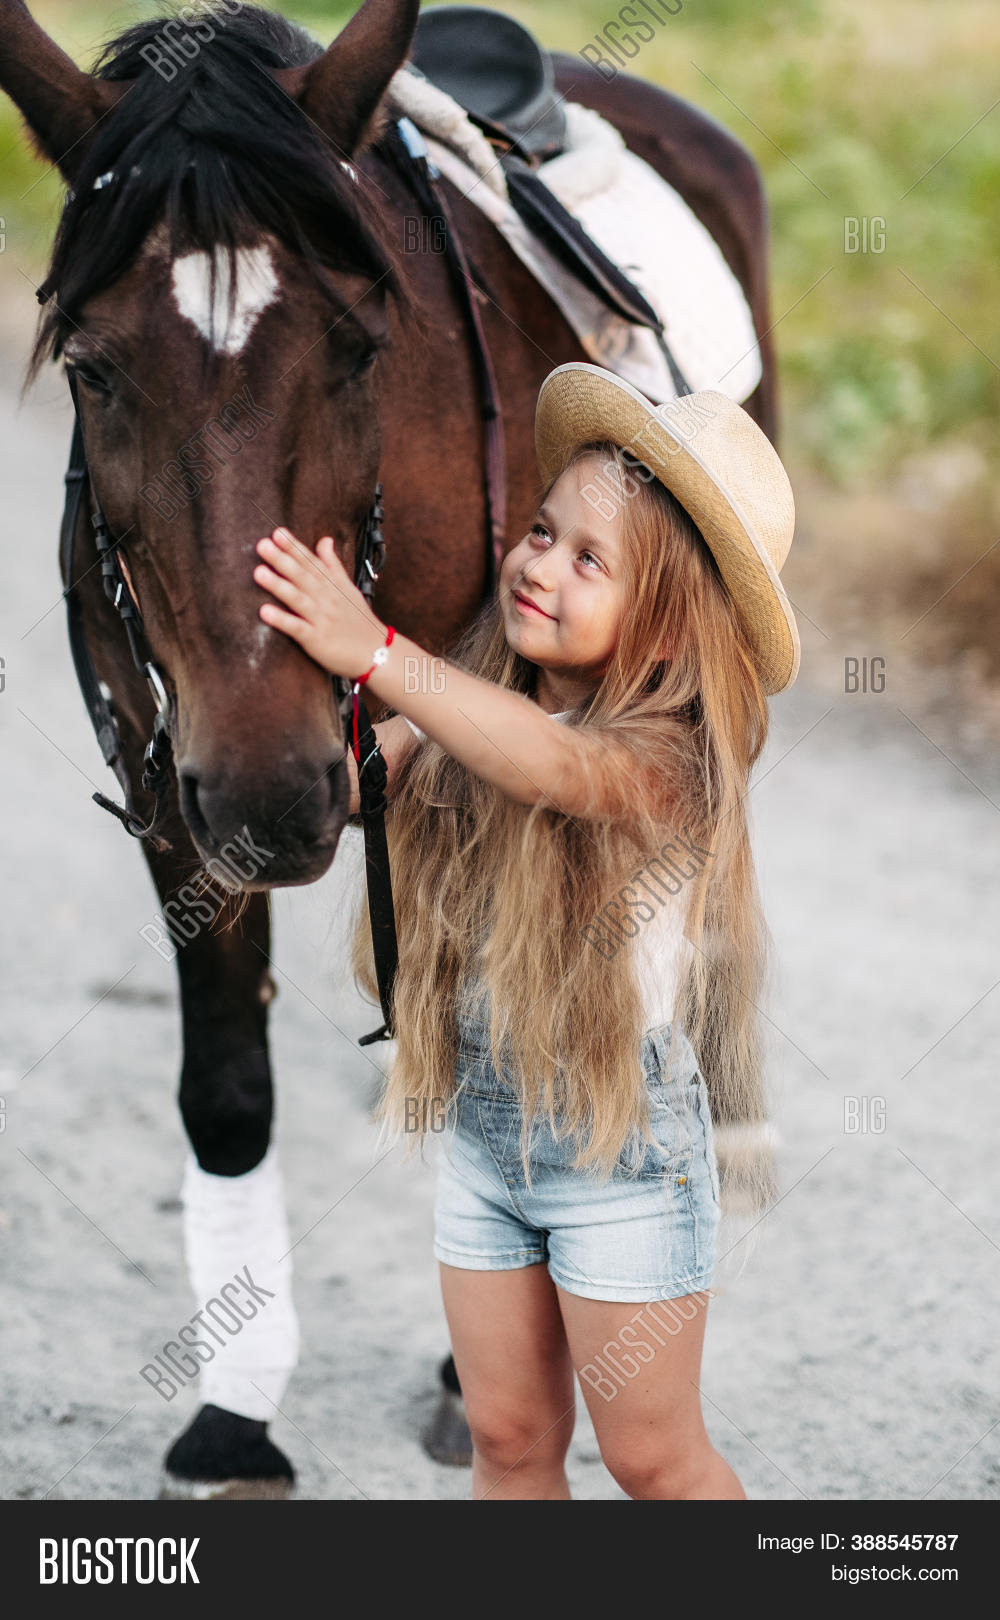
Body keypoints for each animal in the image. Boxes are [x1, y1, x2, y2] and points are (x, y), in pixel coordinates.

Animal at [1, 0, 775, 1497]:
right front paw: (237, 1416)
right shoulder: (175, 801)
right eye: (93, 368)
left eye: (357, 350)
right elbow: (227, 1096)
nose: (273, 791)